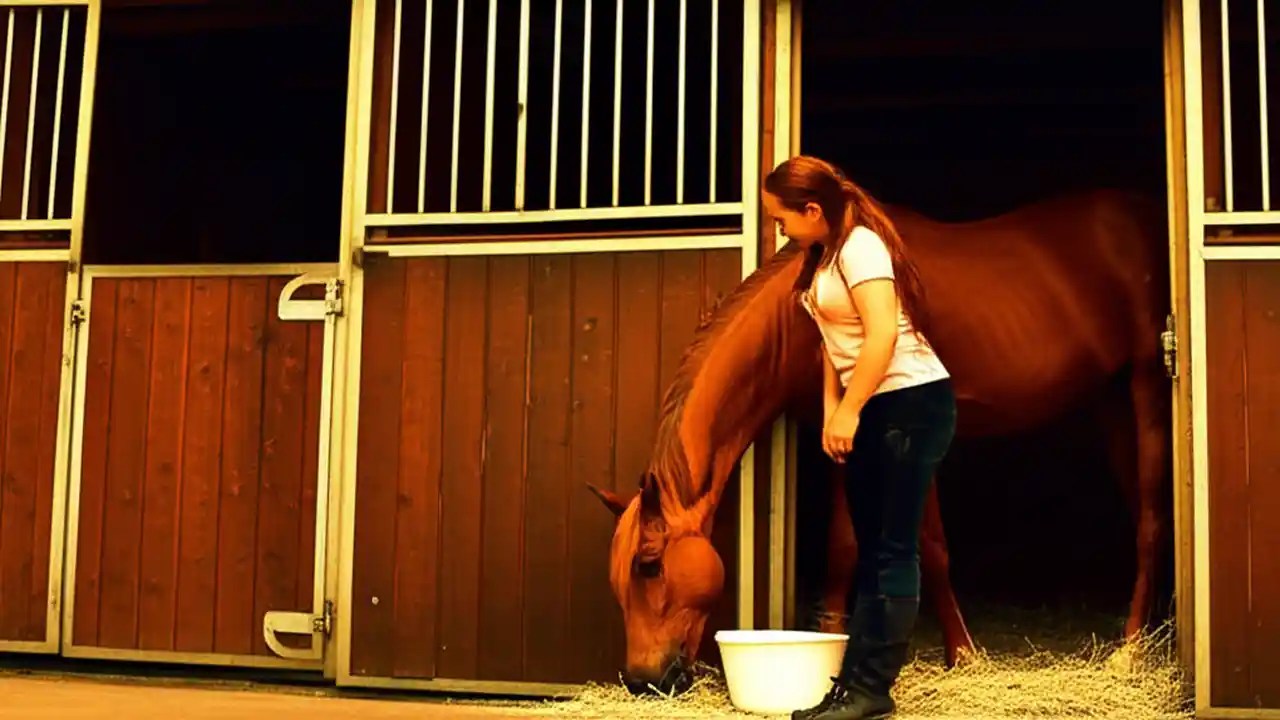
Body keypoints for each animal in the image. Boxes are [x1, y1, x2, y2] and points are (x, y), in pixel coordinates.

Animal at [588, 188, 1171, 696]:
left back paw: (1129, 649)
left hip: (1145, 379)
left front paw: (964, 655)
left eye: (649, 564)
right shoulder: (844, 438)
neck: (797, 325)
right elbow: (844, 546)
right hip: (1109, 398)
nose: (642, 680)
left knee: (1150, 520)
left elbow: (930, 547)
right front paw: (829, 638)